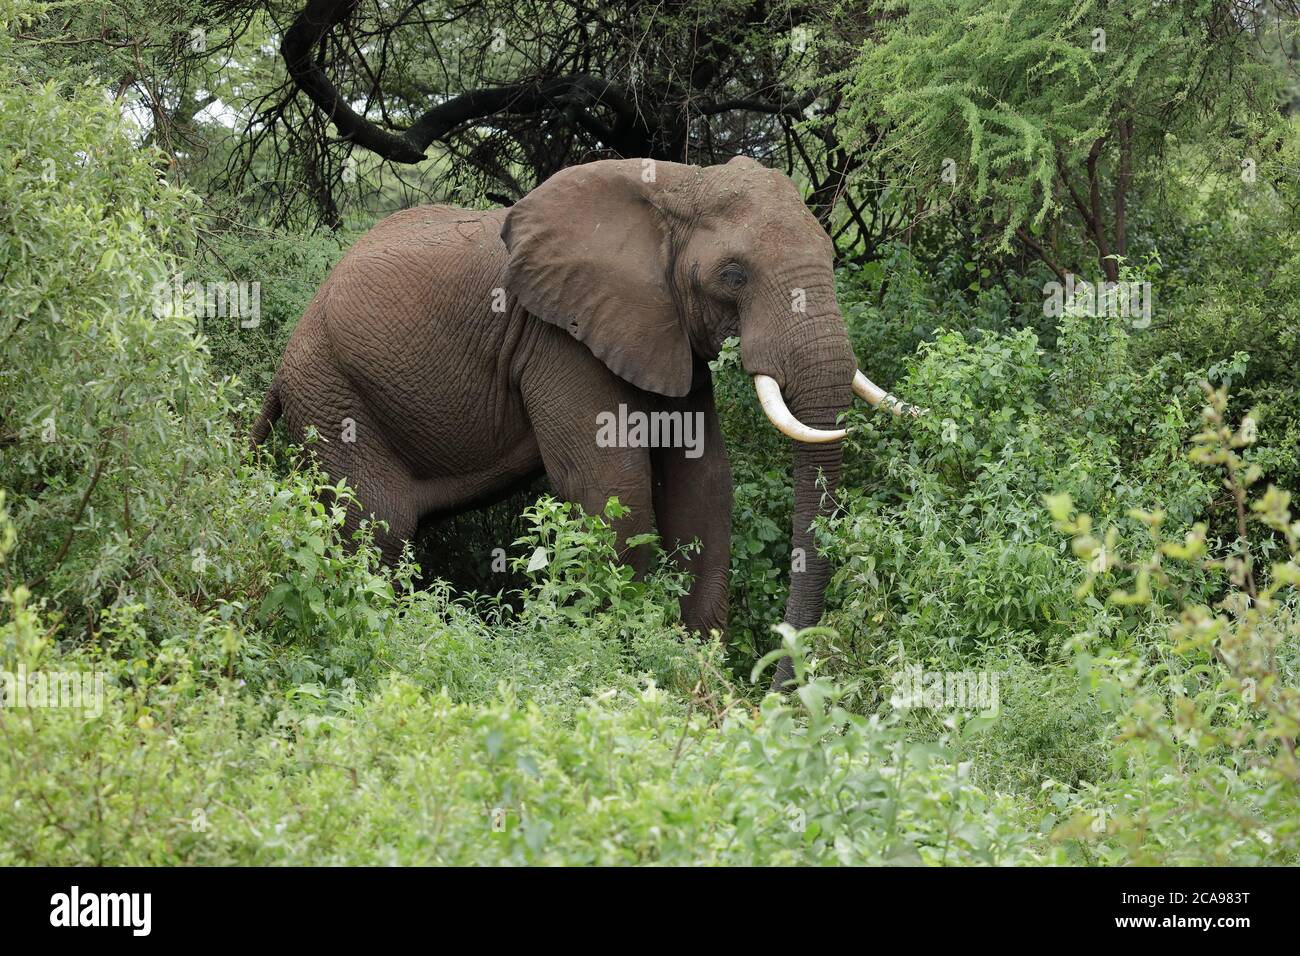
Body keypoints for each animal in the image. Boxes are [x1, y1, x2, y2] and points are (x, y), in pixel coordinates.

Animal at [250, 156, 918, 686]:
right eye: (734, 274)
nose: (777, 690)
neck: (677, 185)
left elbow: (703, 489)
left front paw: (696, 682)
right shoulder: (559, 338)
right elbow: (612, 492)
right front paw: (638, 668)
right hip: (333, 394)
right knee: (378, 530)